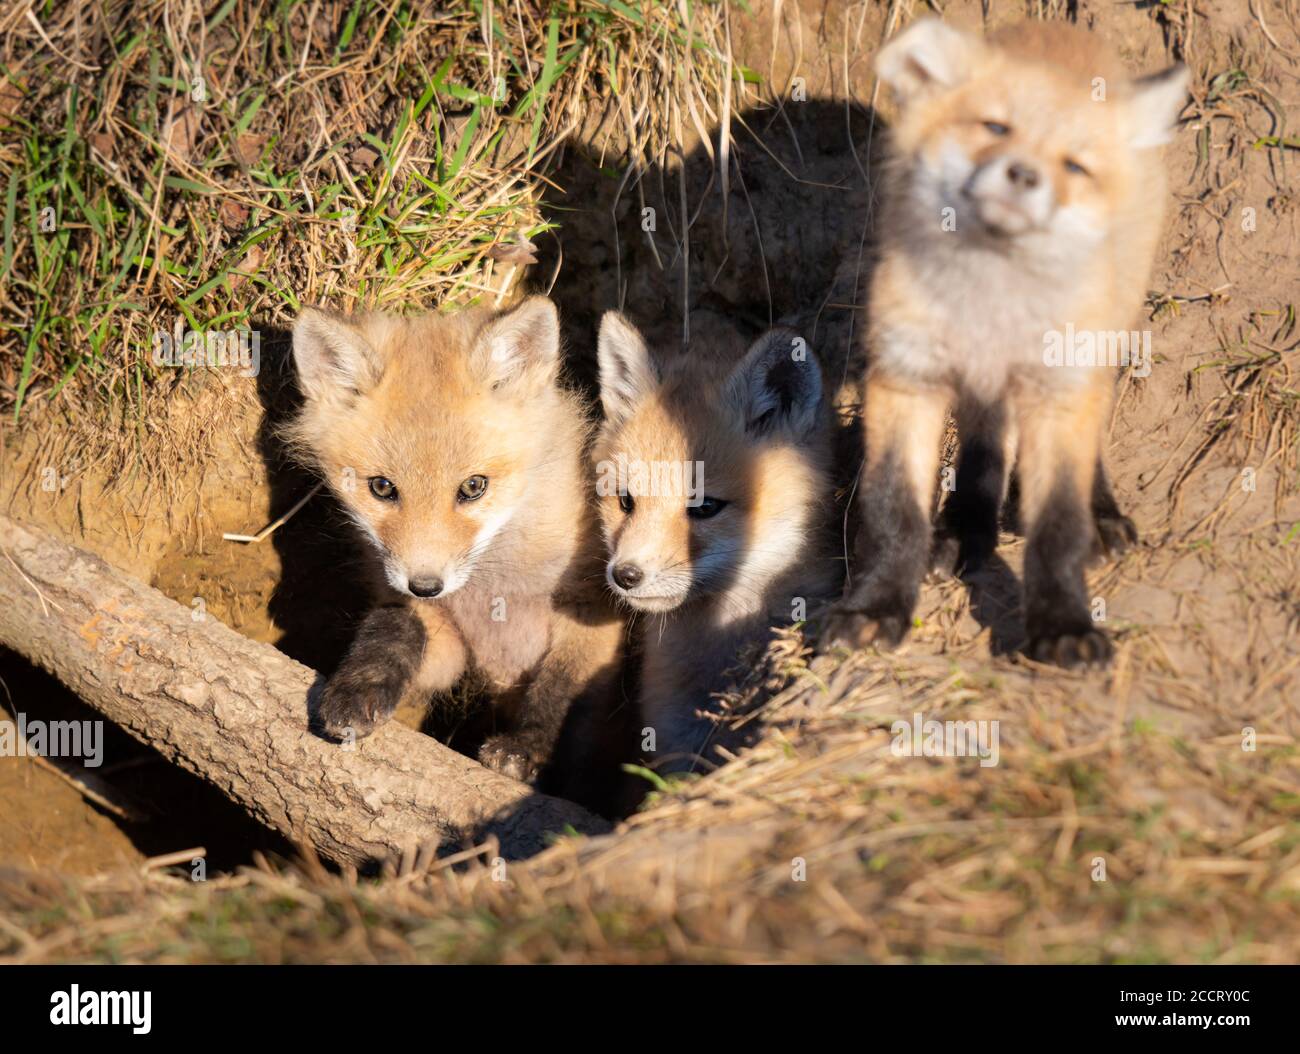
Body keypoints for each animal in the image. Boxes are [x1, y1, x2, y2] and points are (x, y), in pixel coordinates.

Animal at [288, 296, 624, 783]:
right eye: (382, 488)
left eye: (473, 487)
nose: (425, 586)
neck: (497, 592)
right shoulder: (446, 638)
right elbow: (392, 627)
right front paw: (358, 686)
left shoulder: (593, 615)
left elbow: (559, 687)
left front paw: (524, 747)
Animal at [823, 18, 1188, 668]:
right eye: (995, 128)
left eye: (1075, 166)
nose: (1023, 175)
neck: (990, 299)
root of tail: (1061, 27)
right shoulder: (907, 375)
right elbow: (893, 510)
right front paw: (876, 607)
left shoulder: (1059, 382)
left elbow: (1057, 524)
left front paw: (1062, 624)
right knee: (986, 443)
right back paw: (966, 529)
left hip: (1102, 332)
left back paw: (1101, 516)